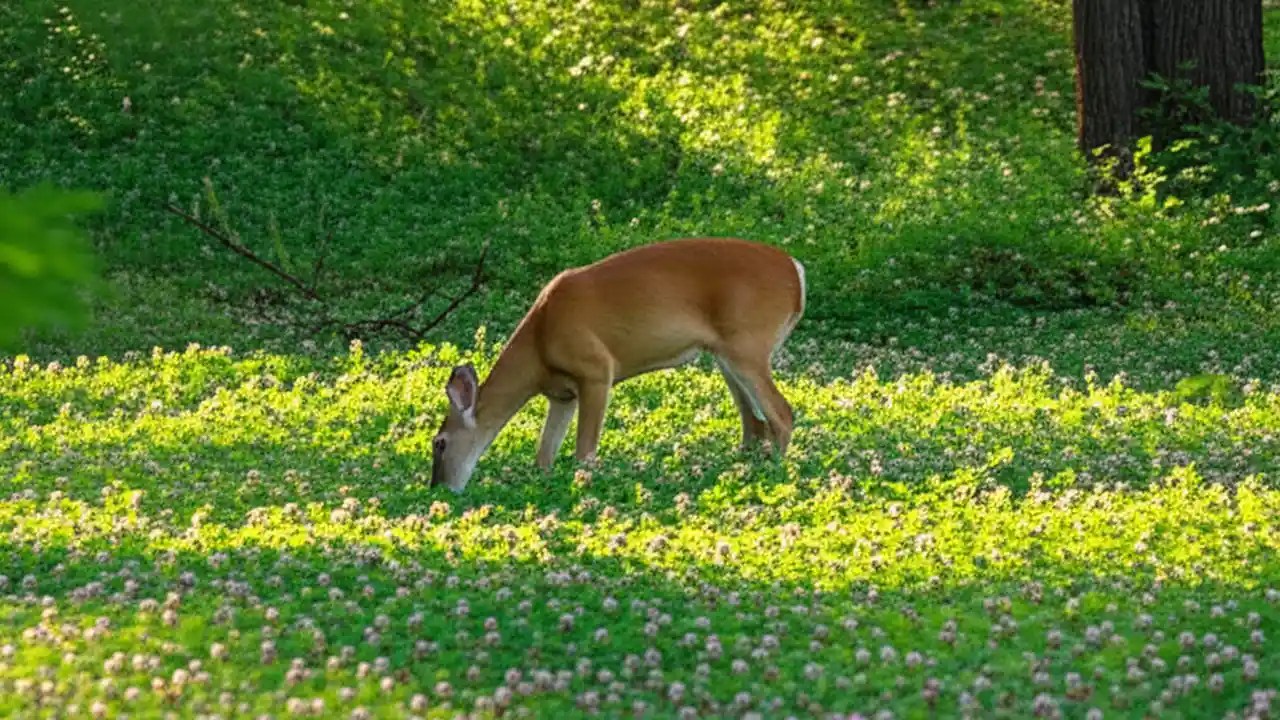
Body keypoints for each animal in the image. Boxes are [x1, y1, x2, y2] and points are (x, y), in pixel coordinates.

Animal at [429, 237, 806, 492]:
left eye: (439, 443)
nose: (439, 490)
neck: (541, 343)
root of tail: (797, 272)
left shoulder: (596, 369)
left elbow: (584, 453)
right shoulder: (562, 395)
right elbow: (544, 456)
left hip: (748, 344)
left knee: (782, 414)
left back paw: (776, 474)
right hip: (726, 355)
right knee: (755, 424)